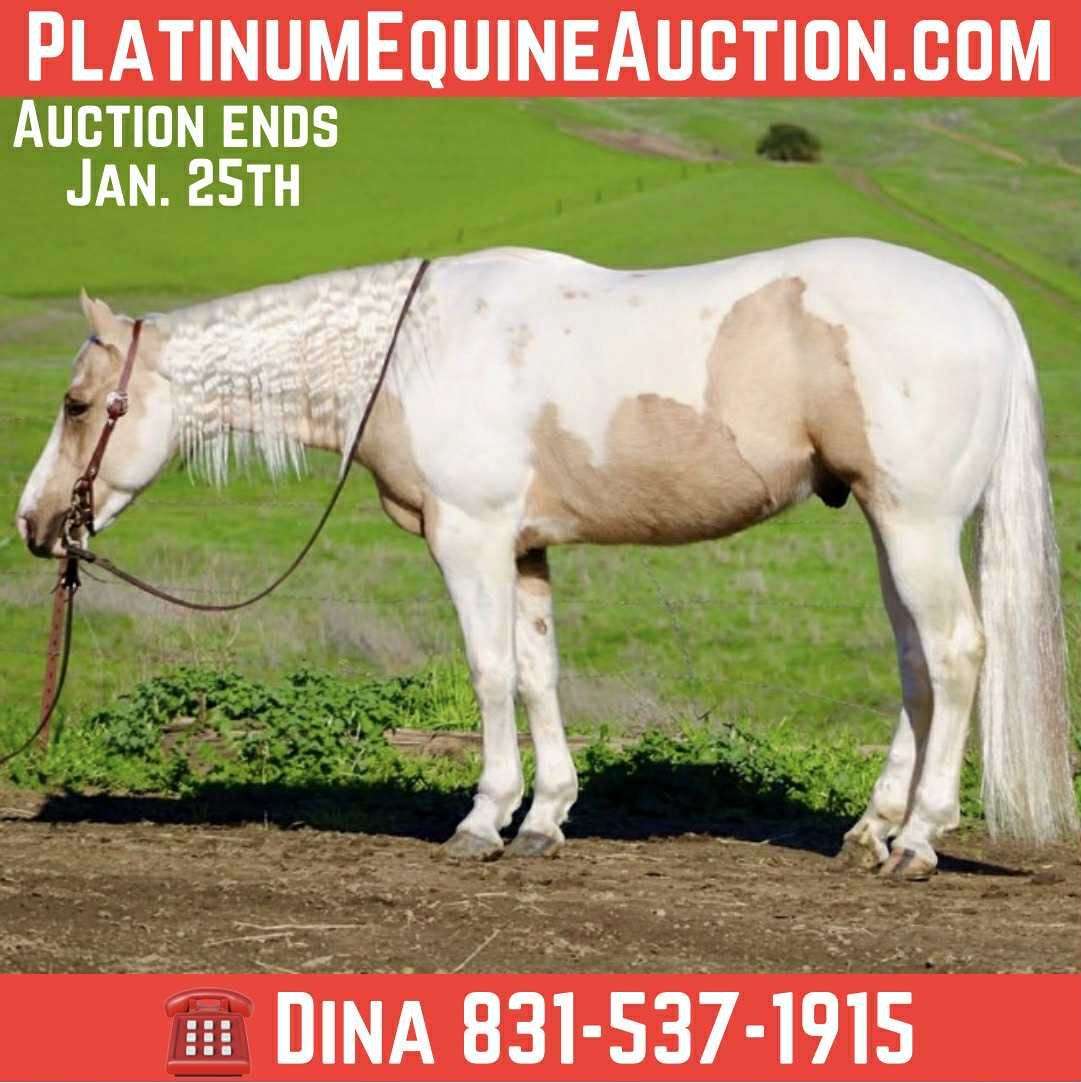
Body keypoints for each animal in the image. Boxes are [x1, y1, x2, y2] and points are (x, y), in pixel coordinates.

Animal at [17, 237, 1077, 878]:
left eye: (77, 404)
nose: (34, 523)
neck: (411, 355)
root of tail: (983, 302)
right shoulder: (524, 550)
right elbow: (537, 673)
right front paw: (545, 817)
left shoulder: (471, 539)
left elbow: (489, 672)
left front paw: (482, 819)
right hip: (892, 525)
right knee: (915, 662)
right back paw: (870, 830)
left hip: (916, 522)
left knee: (955, 653)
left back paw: (919, 839)